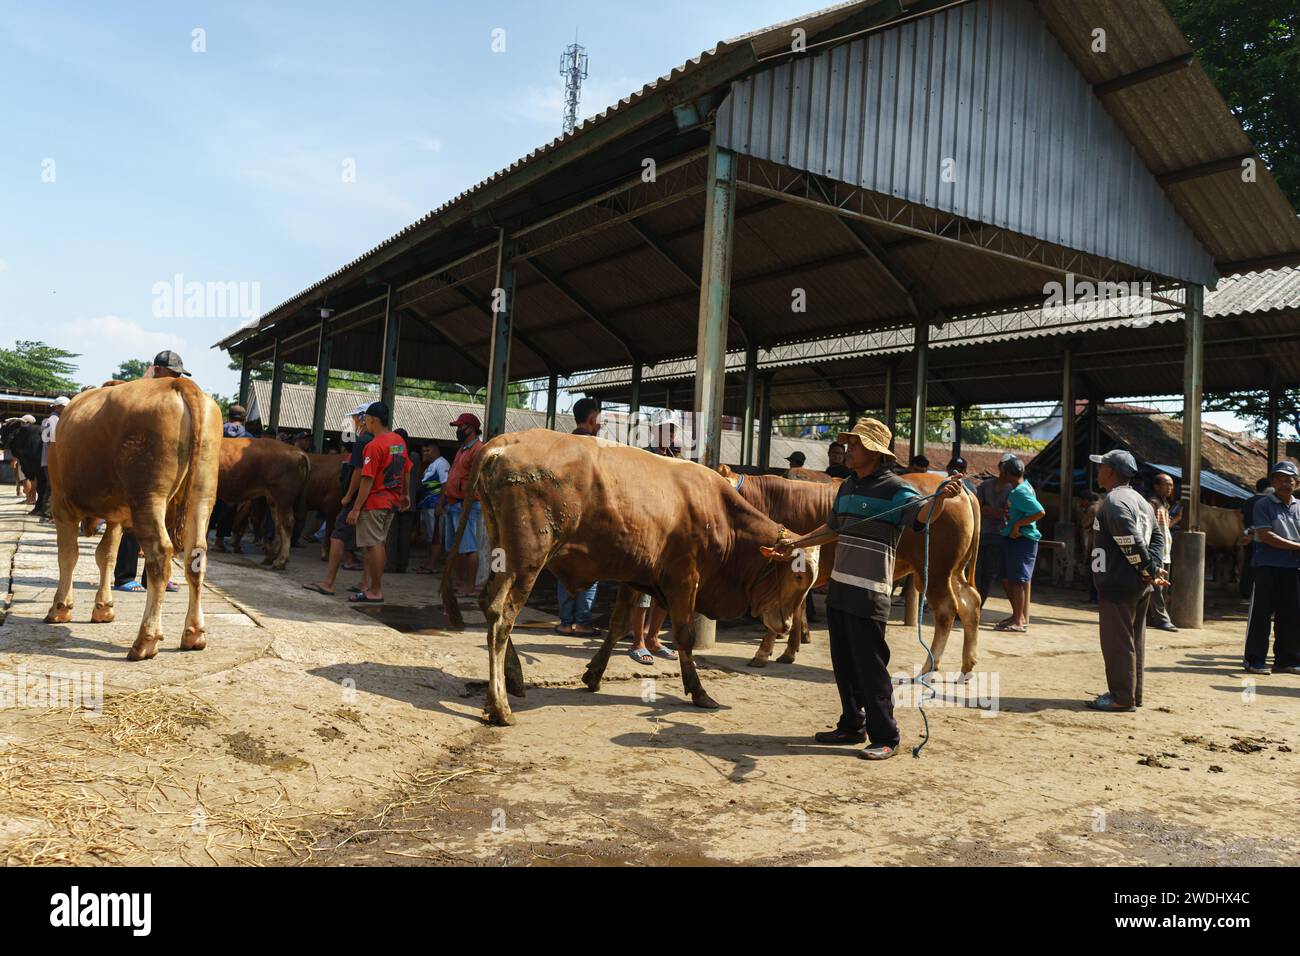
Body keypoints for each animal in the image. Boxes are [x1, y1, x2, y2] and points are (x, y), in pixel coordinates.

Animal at [44, 377, 222, 661]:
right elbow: (106, 555)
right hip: (202, 494)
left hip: (148, 496)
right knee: (196, 557)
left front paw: (60, 608)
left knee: (159, 556)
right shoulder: (116, 516)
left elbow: (69, 555)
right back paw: (193, 634)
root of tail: (178, 382)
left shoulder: (61, 504)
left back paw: (146, 640)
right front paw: (103, 608)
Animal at [209, 438, 309, 570]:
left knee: (287, 523)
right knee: (278, 525)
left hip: (283, 497)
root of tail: (298, 452)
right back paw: (271, 557)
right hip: (273, 499)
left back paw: (280, 561)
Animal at [440, 431, 820, 727]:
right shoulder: (684, 578)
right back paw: (501, 706)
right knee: (502, 617)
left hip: (503, 555)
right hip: (527, 561)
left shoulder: (635, 575)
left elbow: (618, 625)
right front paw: (699, 691)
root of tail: (504, 442)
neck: (719, 512)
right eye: (799, 577)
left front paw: (593, 675)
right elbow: (684, 636)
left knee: (487, 605)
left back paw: (513, 679)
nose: (787, 626)